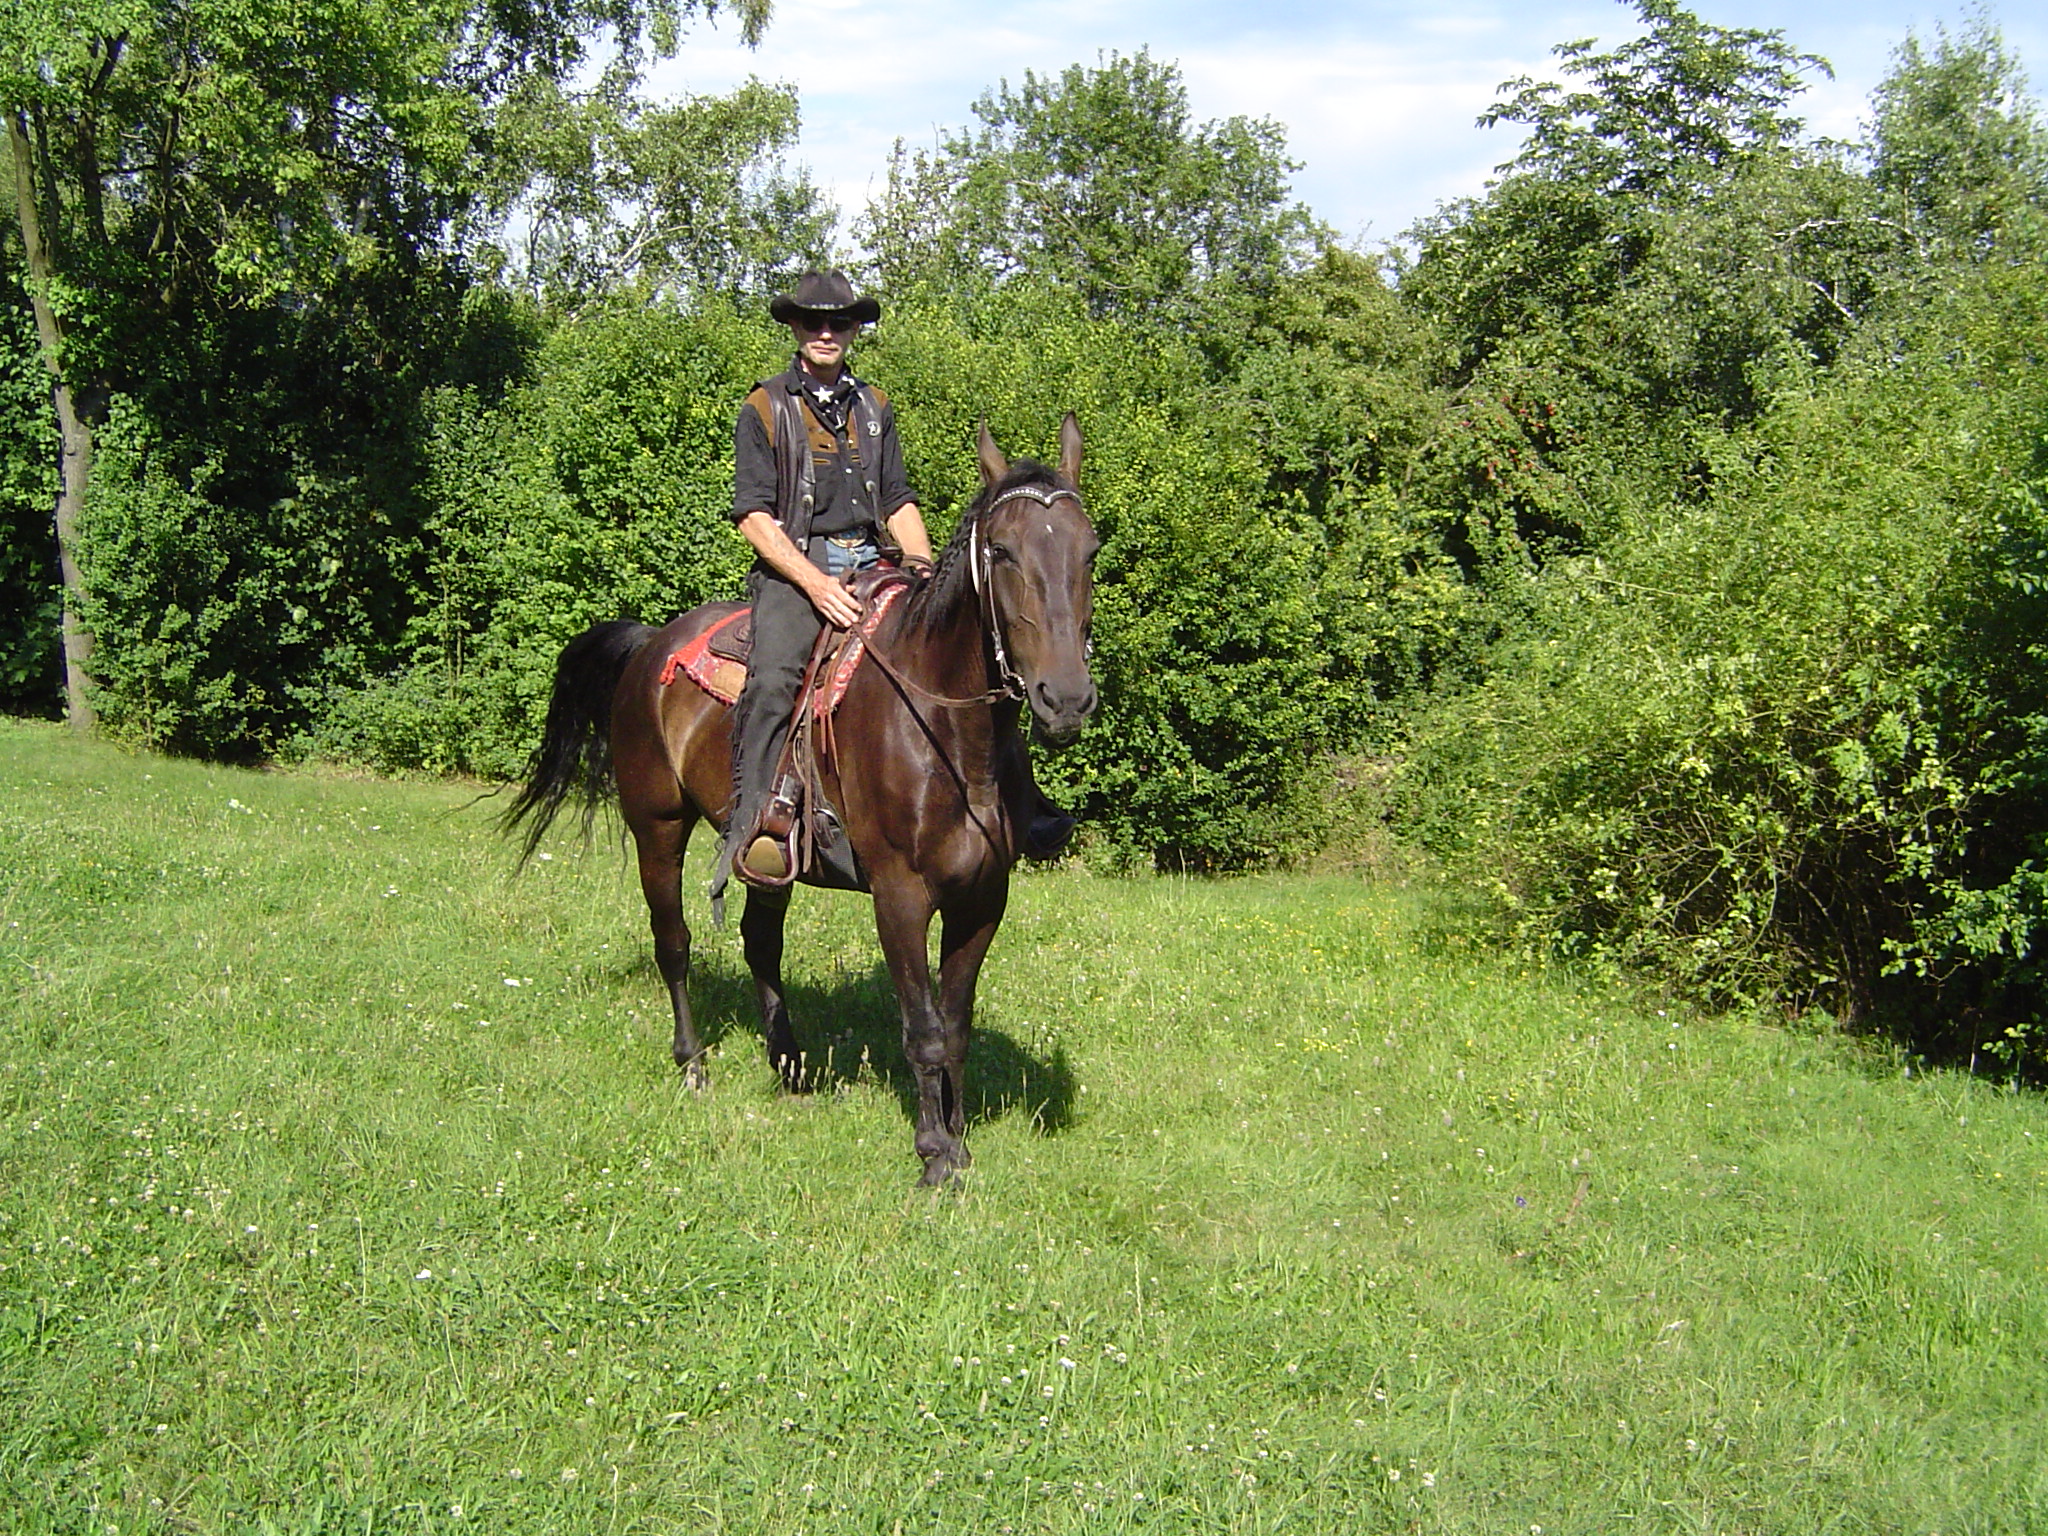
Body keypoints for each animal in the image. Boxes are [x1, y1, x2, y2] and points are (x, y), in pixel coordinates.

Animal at [502, 416, 1097, 1184]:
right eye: (1001, 550)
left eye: (1090, 549)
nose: (1067, 699)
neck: (945, 732)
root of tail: (650, 643)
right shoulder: (899, 897)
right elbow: (923, 1027)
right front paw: (934, 1155)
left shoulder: (983, 897)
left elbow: (957, 1024)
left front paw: (960, 1137)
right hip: (657, 827)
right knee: (674, 943)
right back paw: (693, 1064)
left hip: (766, 855)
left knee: (760, 942)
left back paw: (788, 1065)